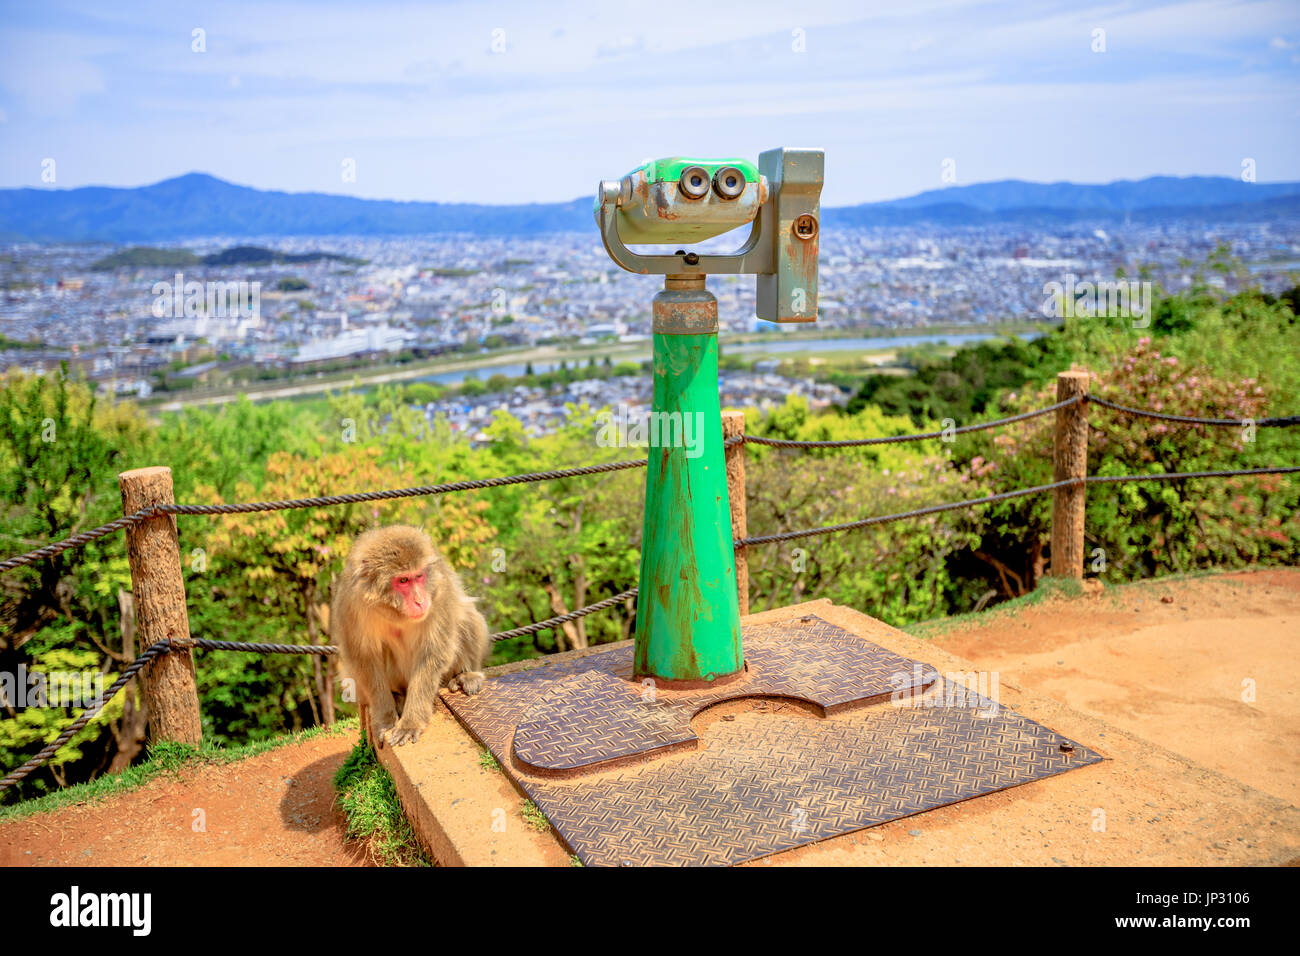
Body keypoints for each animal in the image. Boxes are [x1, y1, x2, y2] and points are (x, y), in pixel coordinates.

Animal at [331, 525, 489, 748]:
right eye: (403, 580)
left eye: (419, 576)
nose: (420, 600)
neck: (393, 611)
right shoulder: (351, 602)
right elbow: (364, 657)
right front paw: (385, 719)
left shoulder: (438, 591)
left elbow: (433, 652)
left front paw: (411, 723)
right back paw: (397, 697)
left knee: (465, 614)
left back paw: (465, 675)